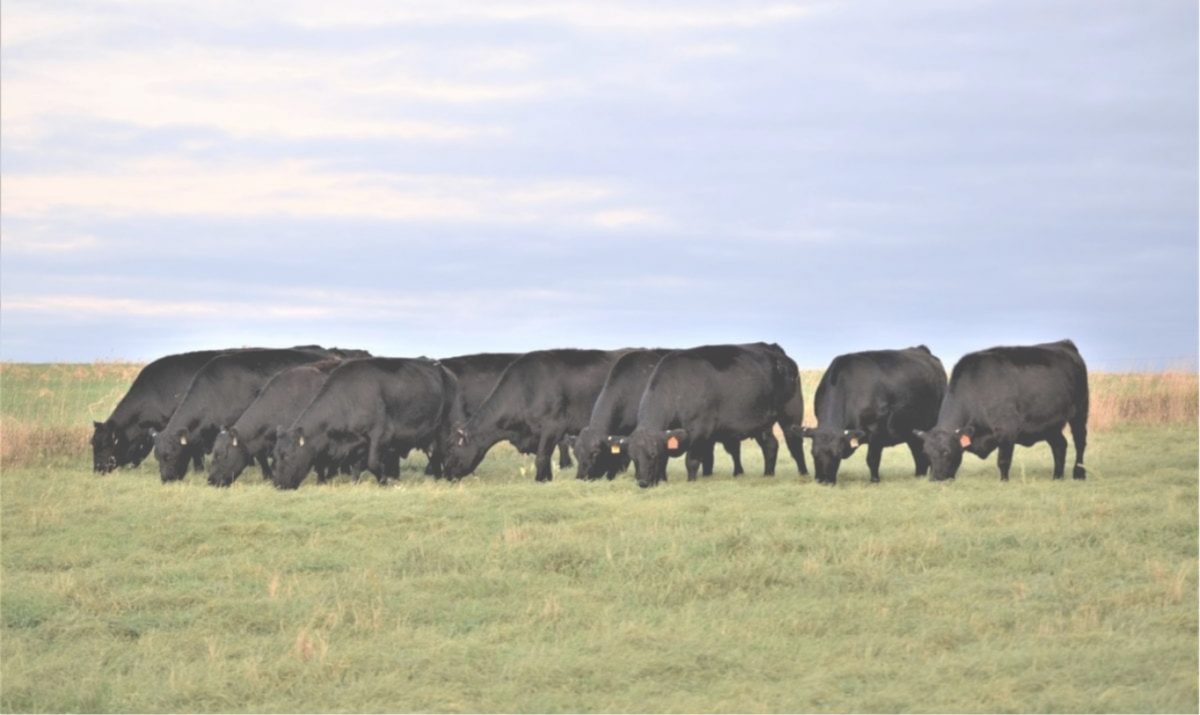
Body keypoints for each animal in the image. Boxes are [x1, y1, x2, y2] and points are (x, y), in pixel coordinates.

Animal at [271, 358, 464, 490]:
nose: (278, 484)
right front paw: (355, 483)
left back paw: (448, 478)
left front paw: (384, 481)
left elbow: (372, 463)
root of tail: (444, 370)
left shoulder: (380, 435)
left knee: (445, 452)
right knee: (435, 454)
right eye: (275, 454)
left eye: (286, 455)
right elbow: (356, 465)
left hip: (445, 427)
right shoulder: (358, 441)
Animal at [624, 342, 809, 488]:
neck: (677, 386)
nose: (642, 482)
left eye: (652, 454)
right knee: (770, 445)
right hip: (762, 423)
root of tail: (776, 352)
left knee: (795, 443)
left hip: (791, 415)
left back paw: (803, 473)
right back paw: (768, 475)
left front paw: (691, 481)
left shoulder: (699, 429)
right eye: (633, 458)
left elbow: (692, 460)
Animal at [797, 346, 946, 484]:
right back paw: (919, 475)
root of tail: (922, 350)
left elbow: (872, 459)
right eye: (812, 453)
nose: (823, 481)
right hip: (910, 429)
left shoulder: (876, 430)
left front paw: (874, 480)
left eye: (837, 453)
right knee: (917, 451)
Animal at [914, 339, 1089, 481]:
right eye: (926, 453)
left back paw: (1078, 474)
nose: (935, 479)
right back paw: (1057, 476)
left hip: (1080, 412)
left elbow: (1003, 461)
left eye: (946, 452)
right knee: (1060, 445)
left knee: (1080, 442)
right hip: (1049, 424)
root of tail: (1064, 344)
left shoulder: (1007, 430)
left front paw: (1004, 481)